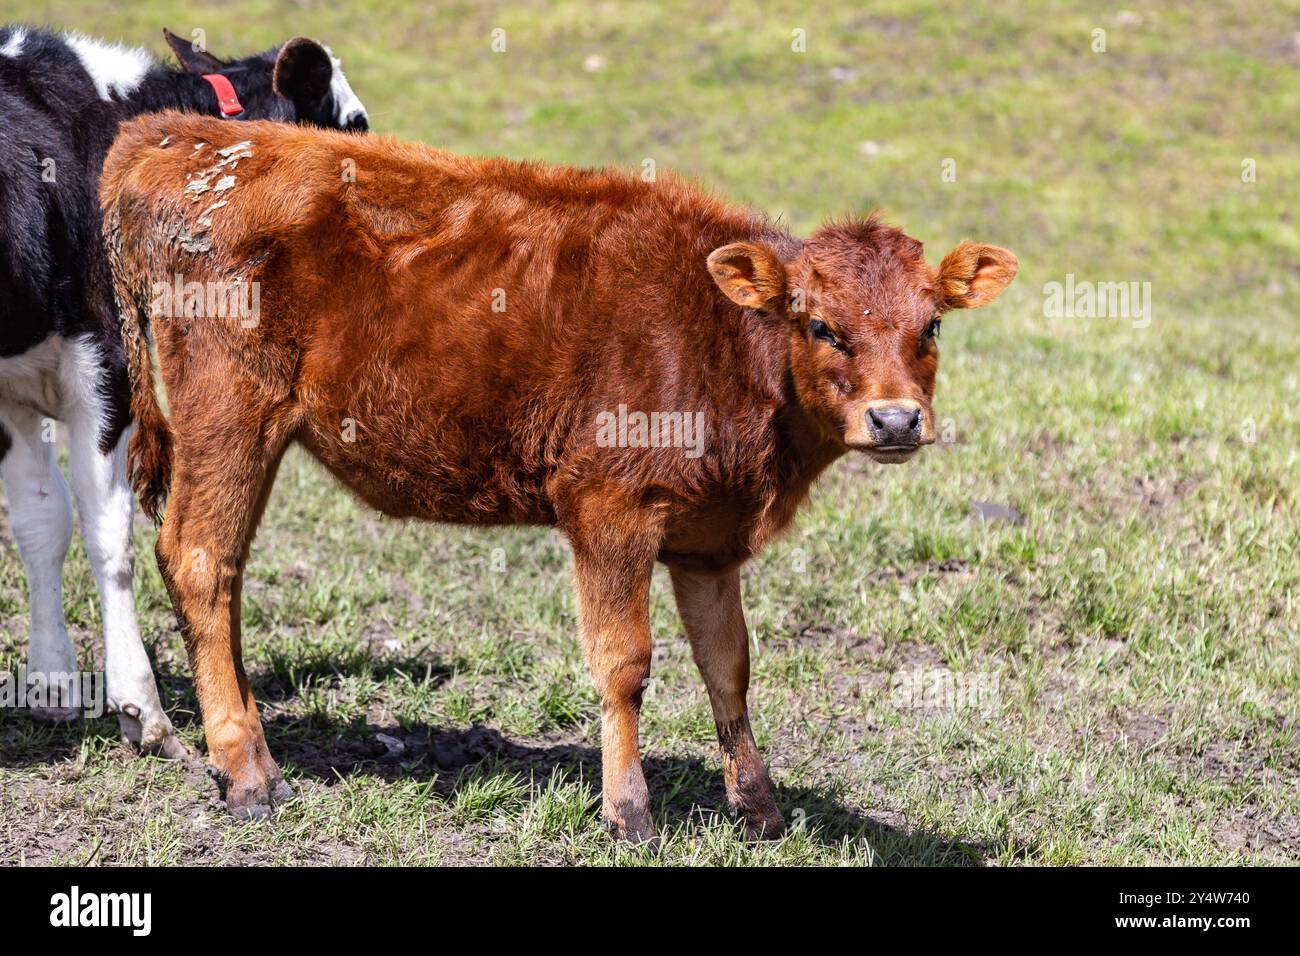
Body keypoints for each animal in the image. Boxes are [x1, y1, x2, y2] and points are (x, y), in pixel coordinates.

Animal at [0, 27, 367, 759]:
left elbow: (39, 521)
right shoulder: (106, 359)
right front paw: (138, 705)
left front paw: (52, 685)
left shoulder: (17, 388)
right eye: (354, 130)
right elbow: (108, 531)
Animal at [100, 111, 1017, 838]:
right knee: (199, 561)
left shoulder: (709, 541)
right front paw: (628, 811)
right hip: (230, 414)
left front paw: (758, 807)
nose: (896, 419)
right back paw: (248, 772)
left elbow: (729, 666)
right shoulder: (609, 507)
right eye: (820, 325)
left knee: (217, 572)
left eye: (932, 325)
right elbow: (625, 663)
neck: (720, 341)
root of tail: (179, 135)